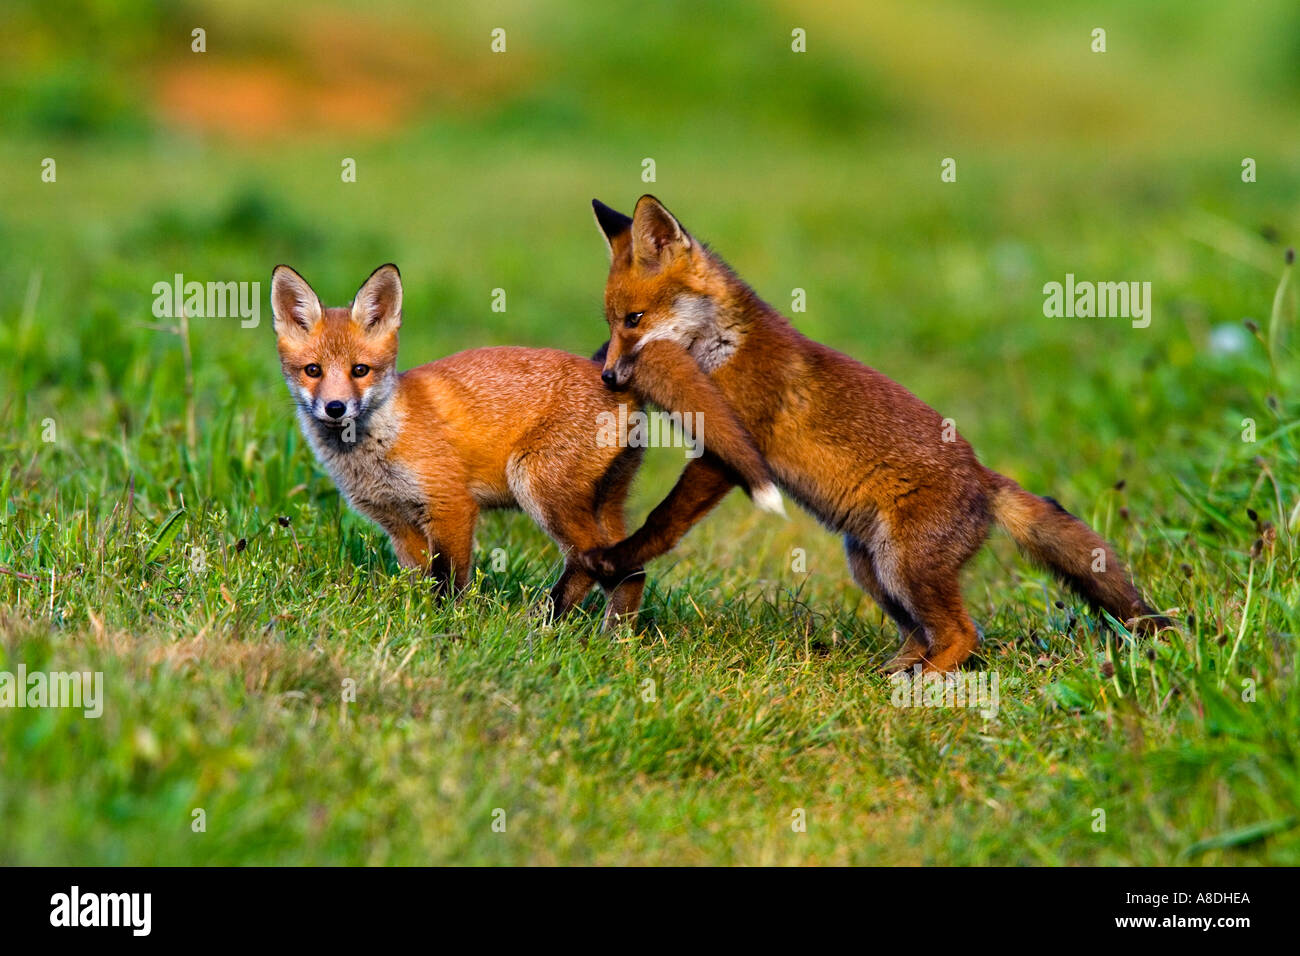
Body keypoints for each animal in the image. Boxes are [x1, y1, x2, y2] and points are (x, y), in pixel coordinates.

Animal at [271, 262, 653, 628]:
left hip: (539, 489)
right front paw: (418, 618)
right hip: (605, 505)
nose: (335, 408)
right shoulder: (398, 523)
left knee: (588, 562)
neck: (379, 446)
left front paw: (445, 627)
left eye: (360, 370)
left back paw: (543, 624)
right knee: (632, 572)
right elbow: (418, 582)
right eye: (313, 370)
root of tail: (608, 375)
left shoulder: (451, 505)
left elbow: (447, 583)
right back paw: (615, 639)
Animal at [582, 195, 1170, 671]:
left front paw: (620, 557)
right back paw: (896, 670)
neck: (723, 347)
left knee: (965, 633)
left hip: (903, 566)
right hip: (872, 567)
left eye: (634, 319)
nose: (608, 377)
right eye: (610, 323)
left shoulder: (724, 453)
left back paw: (924, 683)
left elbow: (664, 519)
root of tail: (985, 478)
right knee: (928, 633)